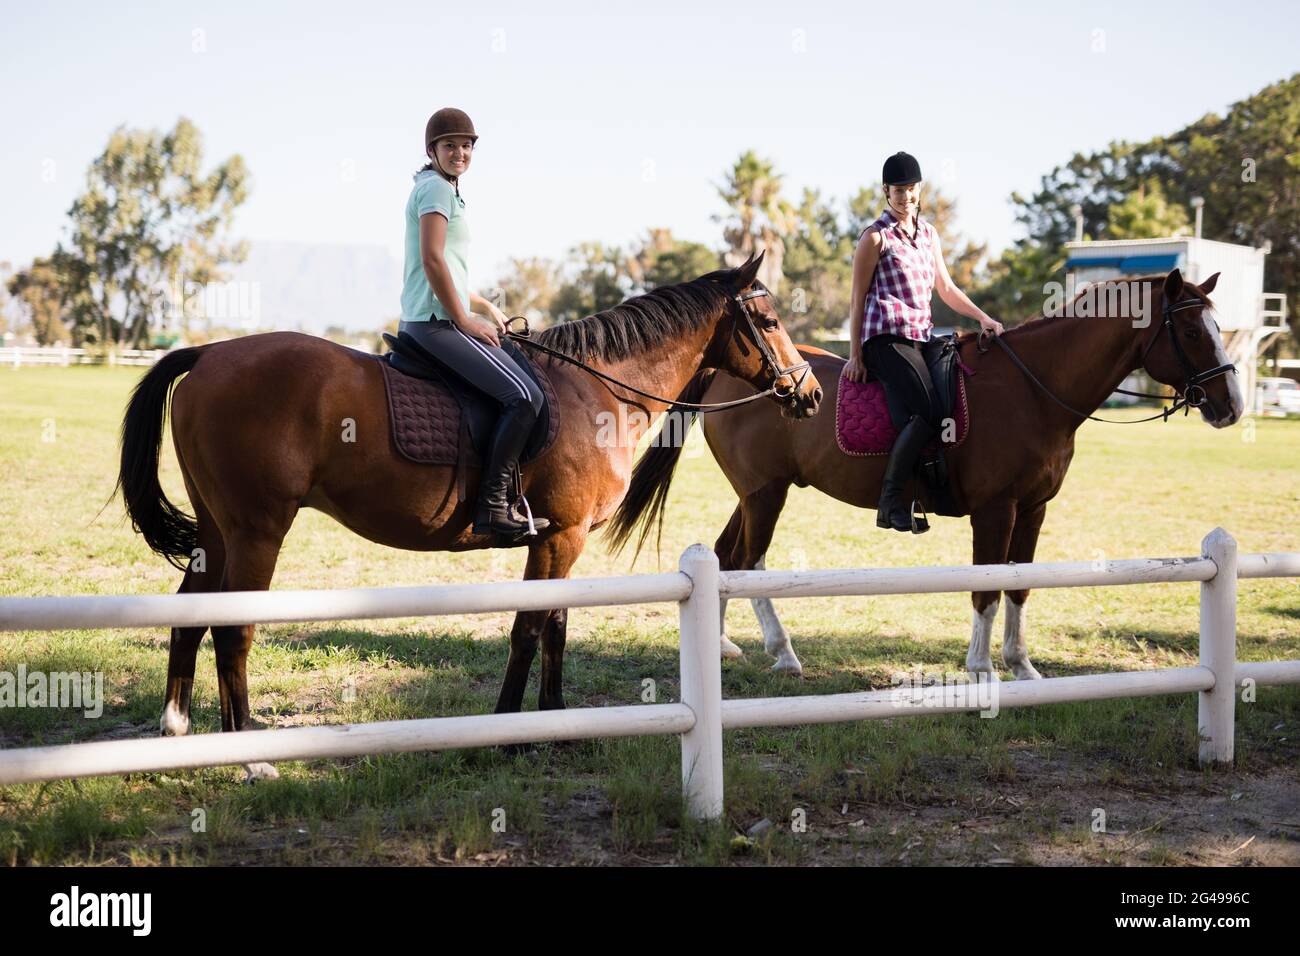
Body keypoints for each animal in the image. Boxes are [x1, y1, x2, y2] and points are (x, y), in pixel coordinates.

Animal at [114, 254, 822, 780]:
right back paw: (251, 760)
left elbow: (556, 626)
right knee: (232, 629)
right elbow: (529, 629)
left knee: (190, 612)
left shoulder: (560, 541)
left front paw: (558, 724)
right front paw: (509, 733)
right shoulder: (560, 538)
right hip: (257, 530)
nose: (810, 392)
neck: (596, 389)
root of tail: (208, 354)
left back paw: (179, 731)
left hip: (218, 530)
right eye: (770, 318)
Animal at [604, 269, 1244, 678]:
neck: (1034, 388)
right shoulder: (995, 511)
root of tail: (730, 374)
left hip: (757, 493)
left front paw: (1022, 667)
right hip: (766, 493)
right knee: (750, 561)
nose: (1231, 406)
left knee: (726, 557)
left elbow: (1020, 585)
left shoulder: (1033, 510)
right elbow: (987, 586)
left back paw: (721, 646)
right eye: (1192, 332)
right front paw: (982, 668)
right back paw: (783, 653)